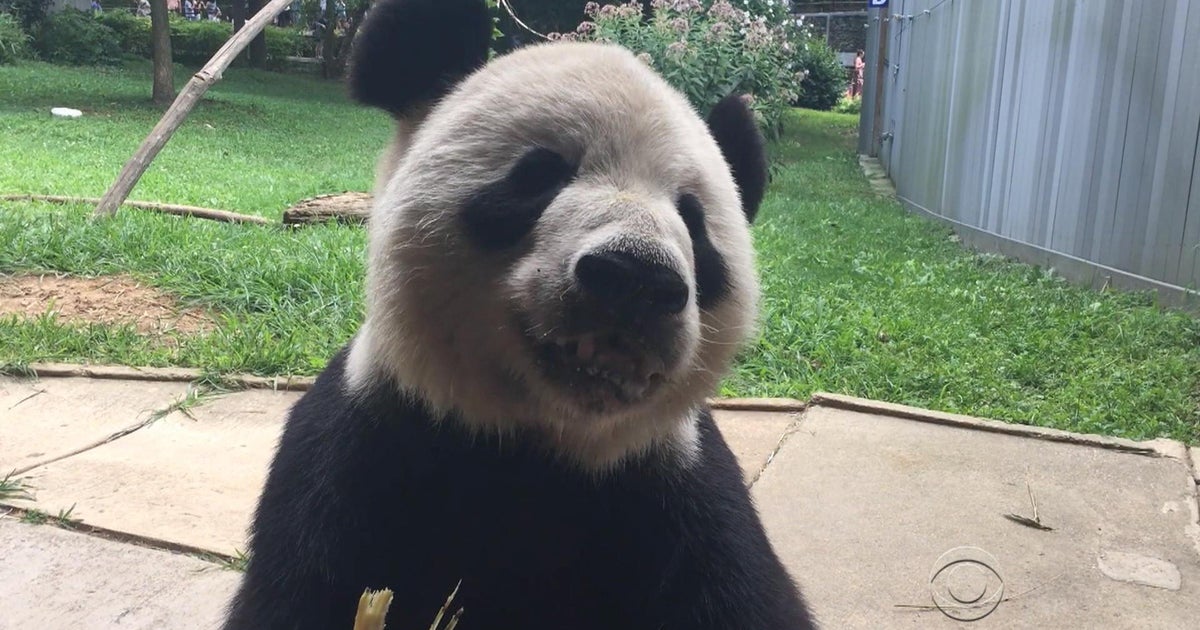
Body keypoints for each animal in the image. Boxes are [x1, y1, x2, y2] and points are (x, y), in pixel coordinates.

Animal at [222, 0, 816, 628]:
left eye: (694, 221)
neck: (541, 440)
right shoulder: (361, 449)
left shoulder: (676, 485)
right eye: (540, 175)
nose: (636, 277)